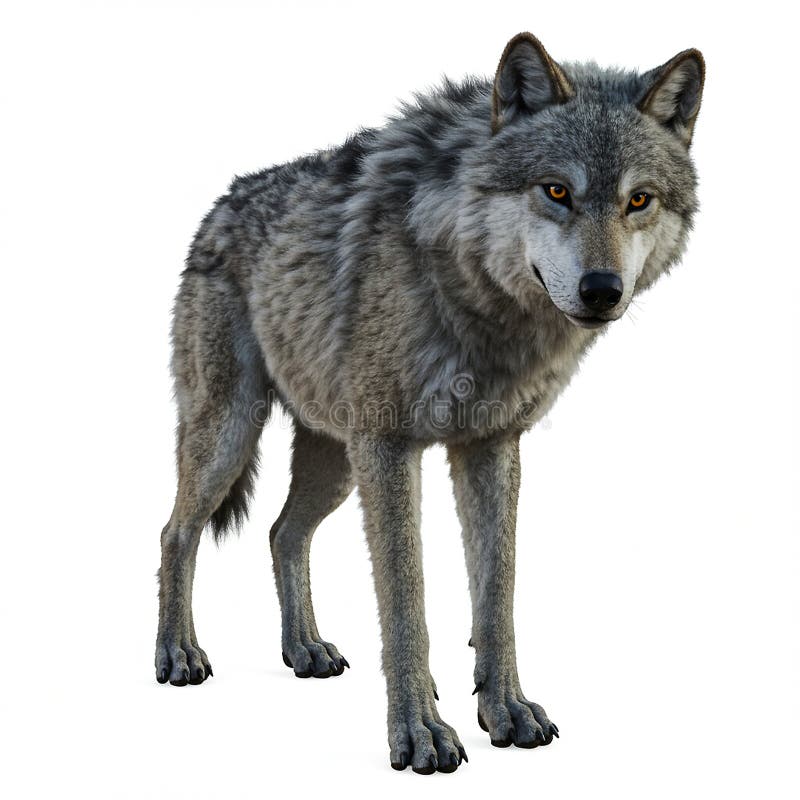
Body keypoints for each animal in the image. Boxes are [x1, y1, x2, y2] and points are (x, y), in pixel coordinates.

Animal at [155, 32, 704, 773]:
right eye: (557, 191)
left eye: (638, 200)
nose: (602, 290)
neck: (478, 300)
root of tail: (222, 202)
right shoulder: (390, 448)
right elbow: (405, 602)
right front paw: (419, 732)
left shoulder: (491, 445)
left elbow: (497, 595)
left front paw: (507, 711)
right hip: (234, 435)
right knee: (175, 532)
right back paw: (178, 654)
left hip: (334, 460)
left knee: (282, 533)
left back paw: (305, 650)